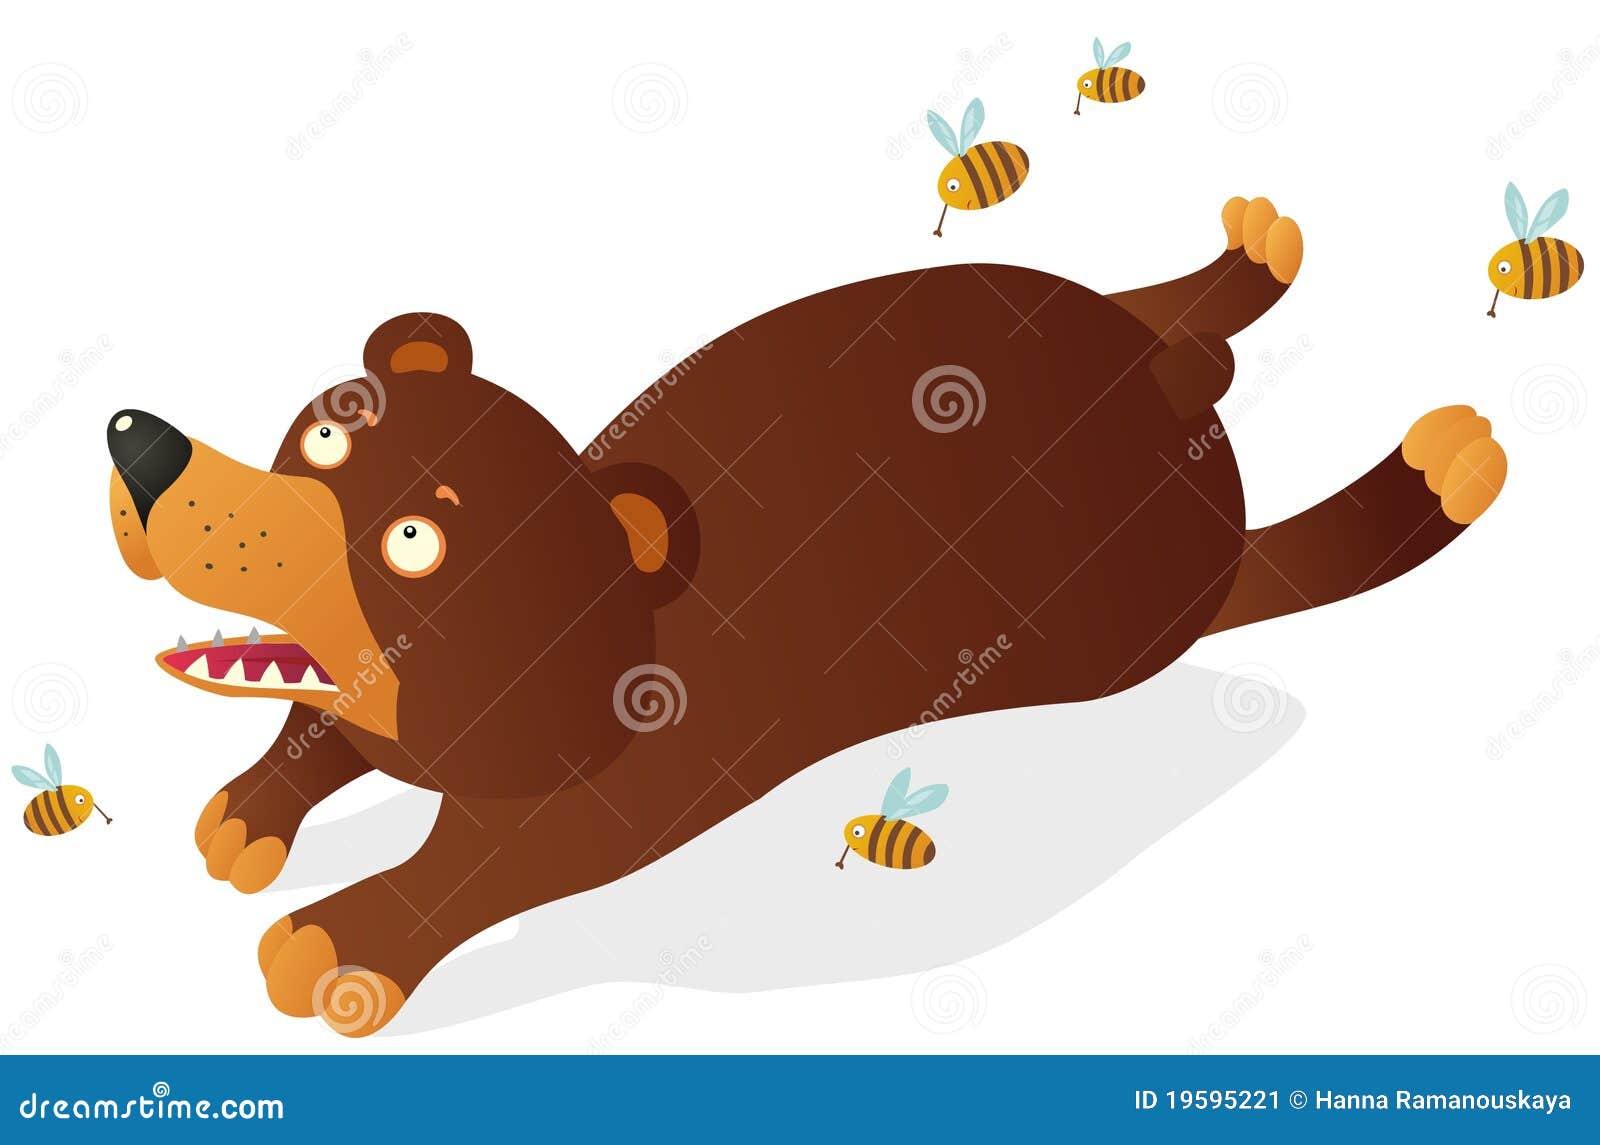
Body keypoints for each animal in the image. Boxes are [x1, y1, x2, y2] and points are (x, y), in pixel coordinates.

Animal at [105, 195, 1505, 1035]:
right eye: (328, 428)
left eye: (414, 540)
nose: (144, 447)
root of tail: (1177, 414)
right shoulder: (378, 709)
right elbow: (316, 728)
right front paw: (248, 810)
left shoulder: (619, 790)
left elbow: (486, 864)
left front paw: (341, 935)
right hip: (1036, 303)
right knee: (1164, 317)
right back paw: (1246, 258)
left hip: (1140, 613)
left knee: (1270, 564)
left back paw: (1421, 467)